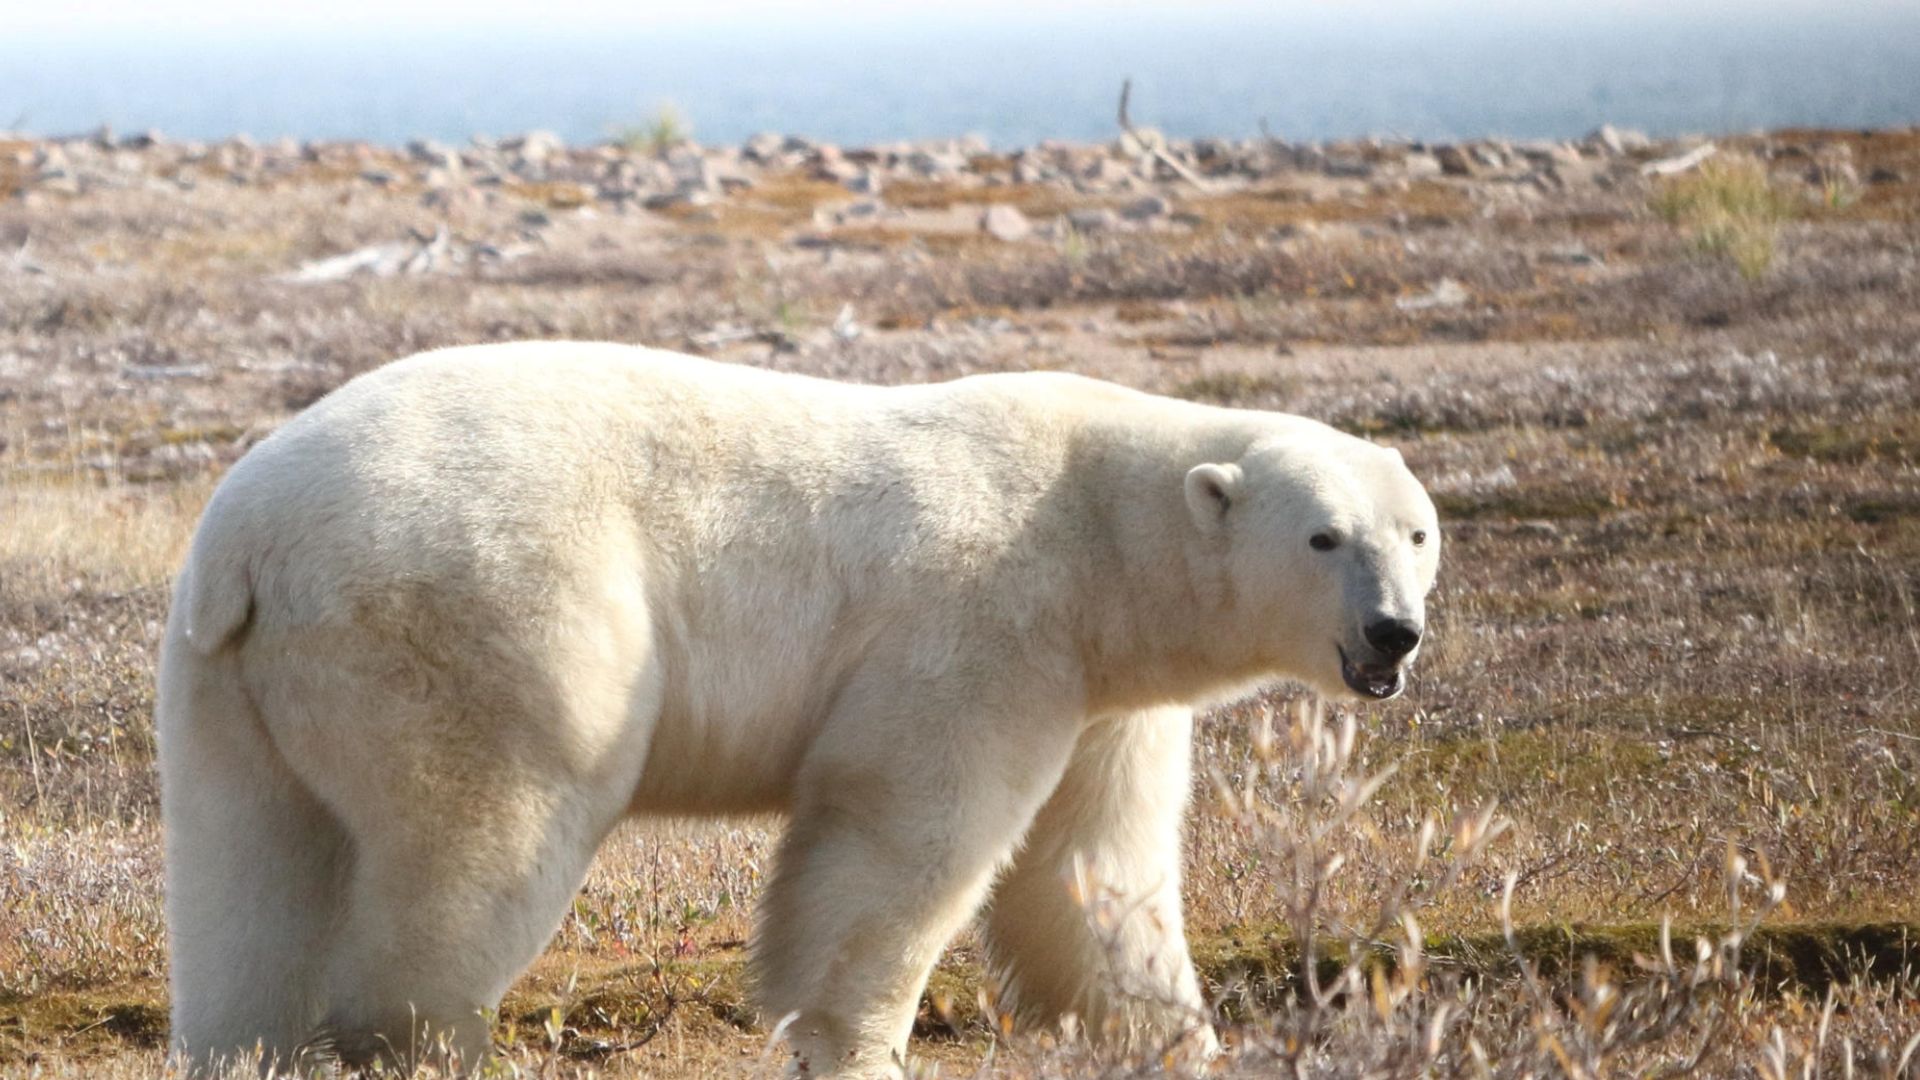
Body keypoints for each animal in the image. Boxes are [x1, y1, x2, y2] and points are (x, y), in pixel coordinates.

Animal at [156, 342, 1440, 1077]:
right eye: (1325, 536)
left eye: (1417, 533)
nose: (1394, 632)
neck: (1094, 530)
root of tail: (251, 542)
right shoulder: (984, 624)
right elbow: (905, 835)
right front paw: (854, 1045)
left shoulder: (1105, 691)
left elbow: (1094, 867)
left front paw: (1168, 1037)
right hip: (479, 614)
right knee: (484, 828)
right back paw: (436, 1041)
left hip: (228, 682)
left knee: (250, 870)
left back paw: (245, 1046)